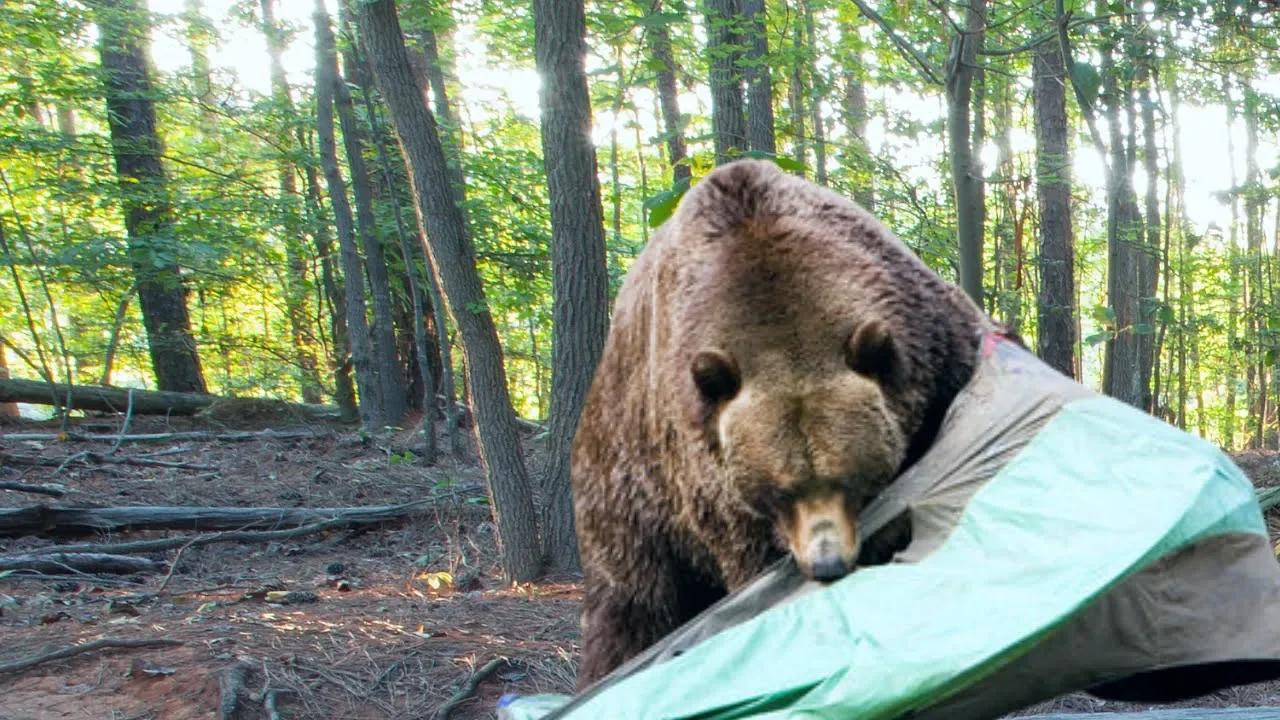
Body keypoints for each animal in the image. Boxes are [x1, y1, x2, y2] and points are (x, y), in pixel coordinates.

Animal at [570, 158, 997, 688]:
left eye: (853, 479)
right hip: (628, 500)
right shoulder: (712, 483)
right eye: (778, 492)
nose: (827, 563)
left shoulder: (933, 343)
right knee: (632, 607)